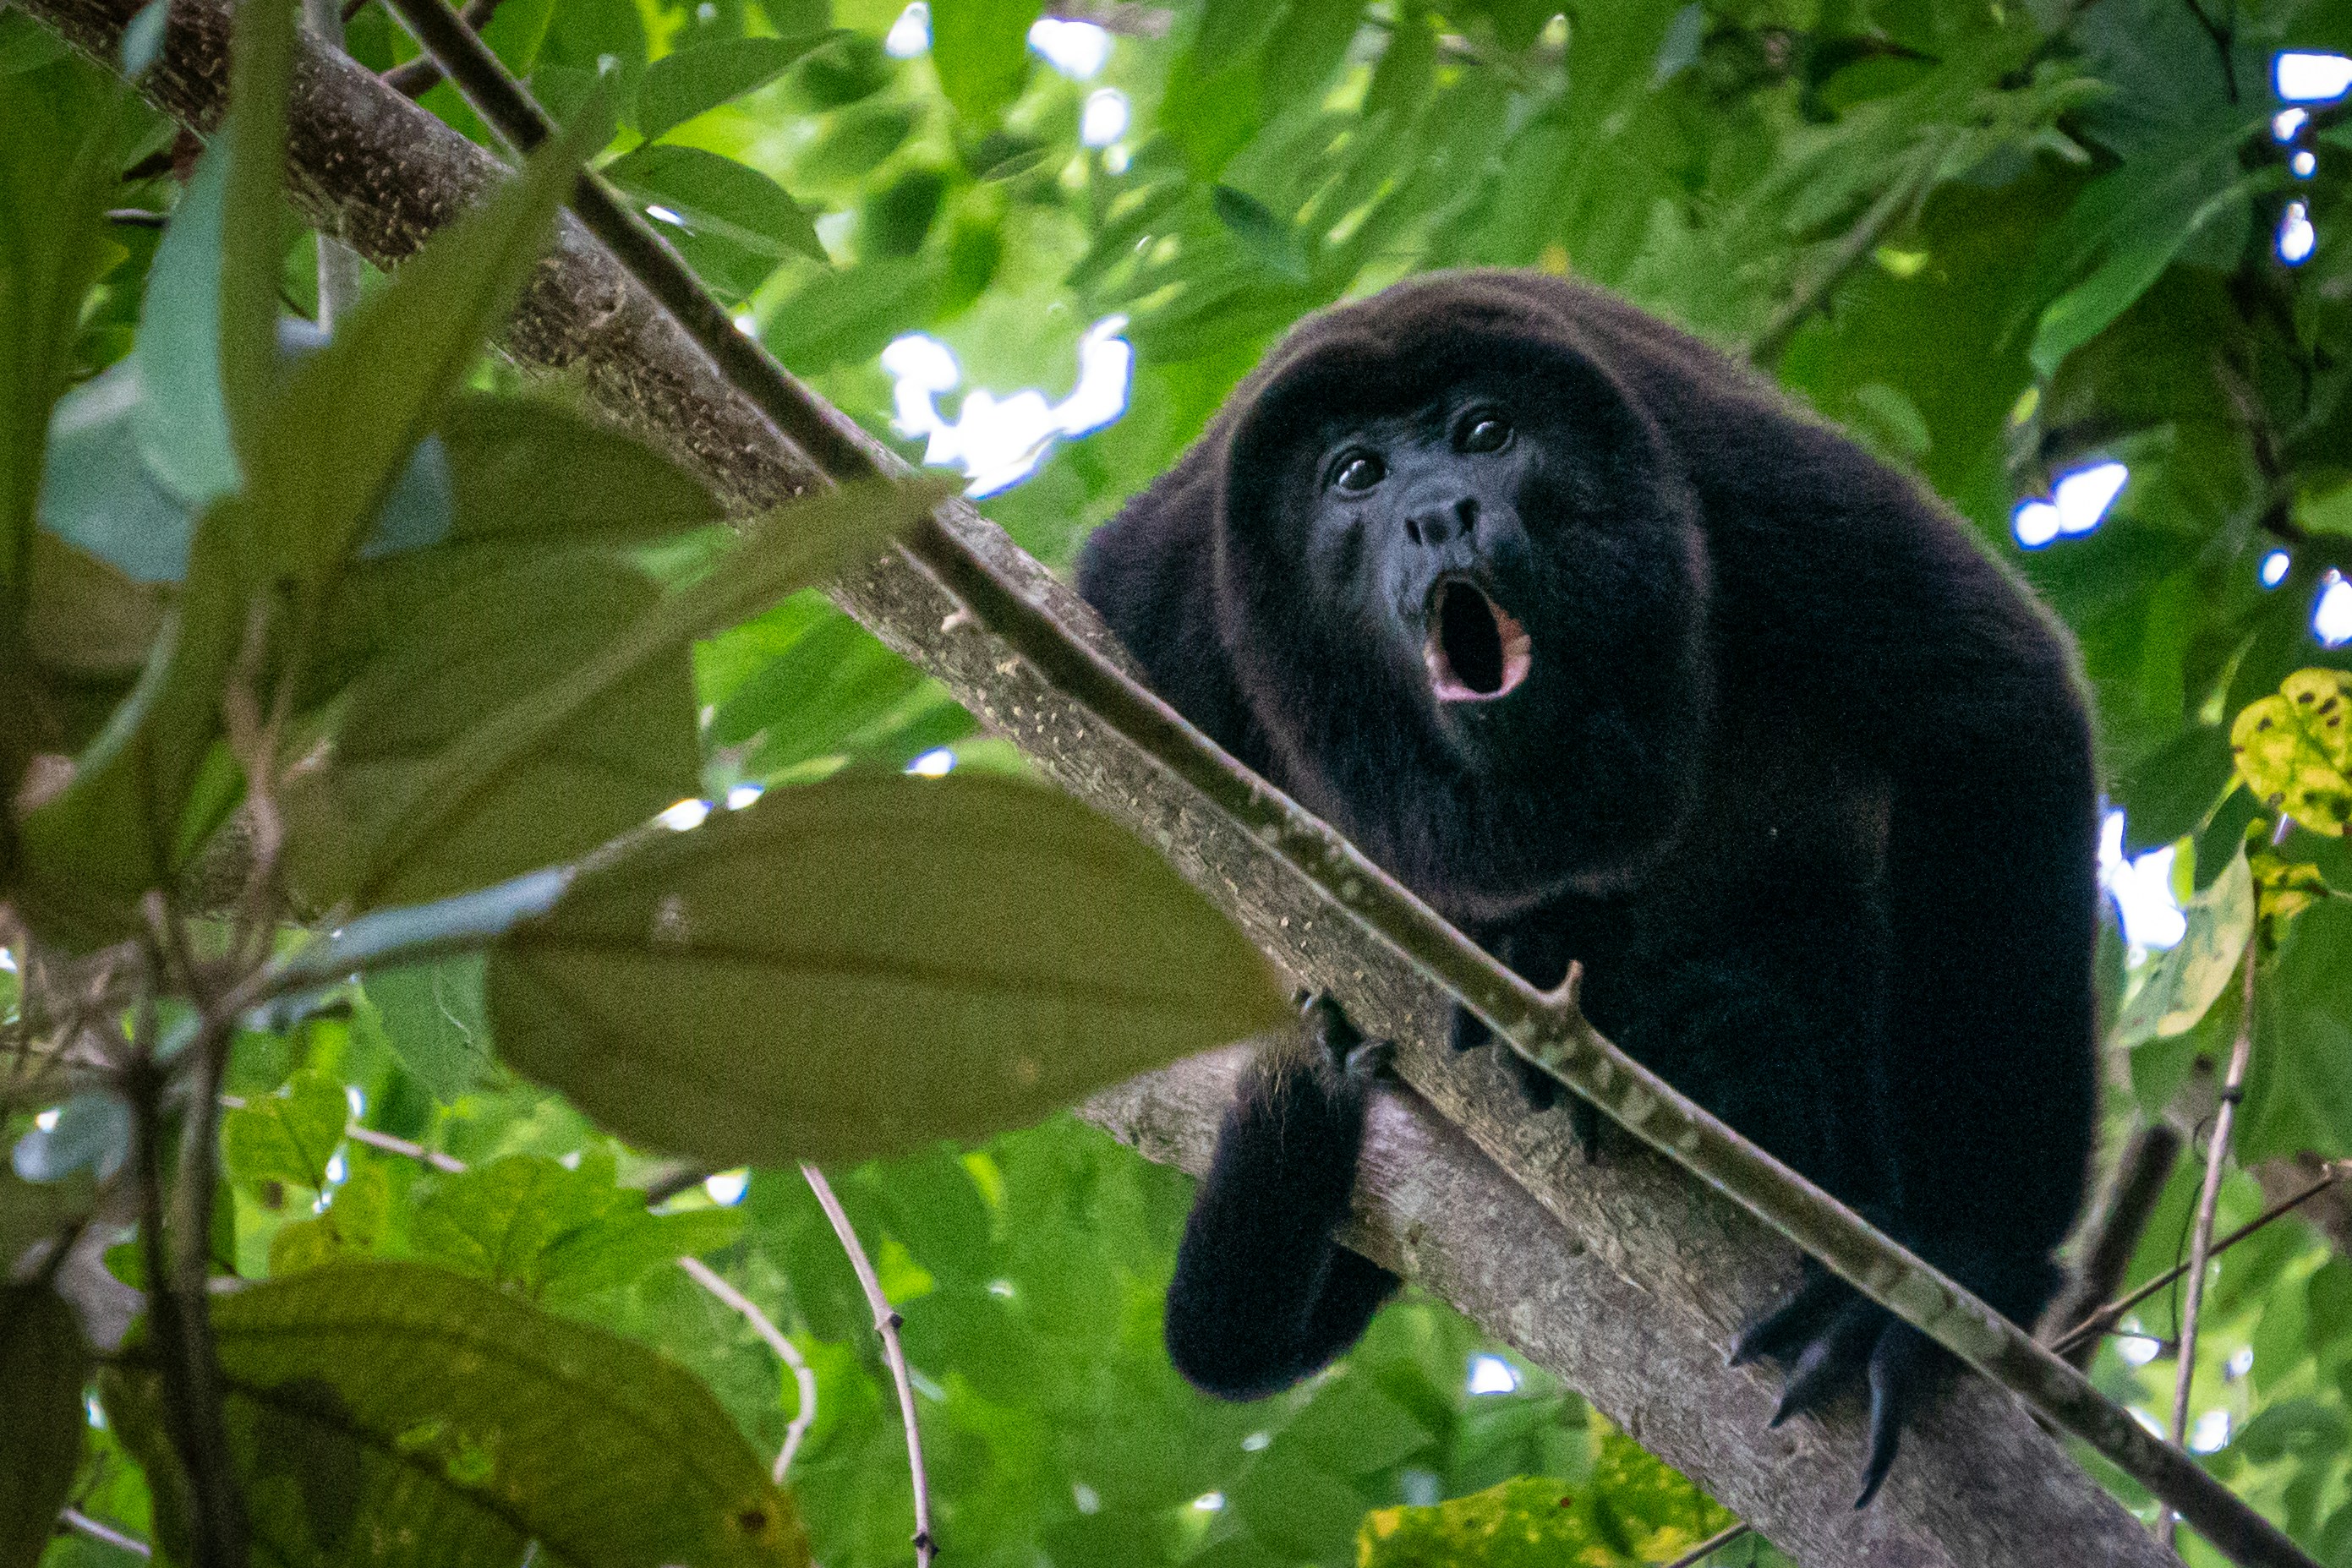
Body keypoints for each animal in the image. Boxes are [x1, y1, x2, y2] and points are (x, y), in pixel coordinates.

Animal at [1074, 269, 2099, 1504]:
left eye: (1483, 435)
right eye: (1356, 474)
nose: (1439, 512)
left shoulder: (1735, 476)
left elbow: (1991, 709)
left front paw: (1956, 1265)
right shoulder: (1165, 598)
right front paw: (1515, 952)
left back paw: (1735, 1048)